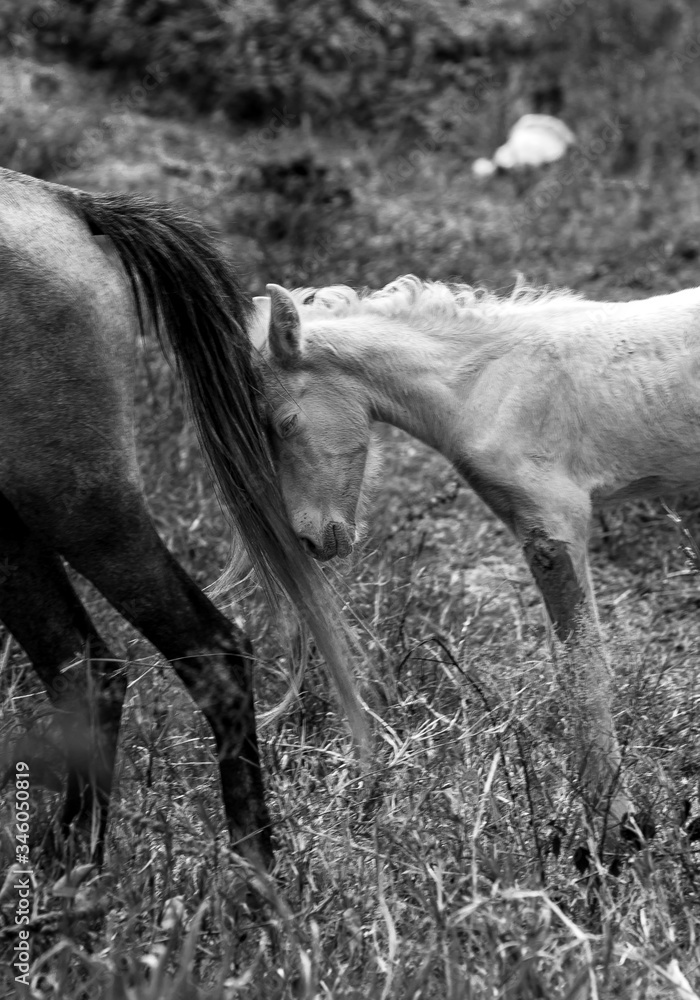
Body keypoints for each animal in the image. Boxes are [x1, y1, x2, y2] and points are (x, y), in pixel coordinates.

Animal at [0, 167, 366, 871]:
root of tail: (66, 202)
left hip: (77, 501)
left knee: (204, 652)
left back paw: (252, 875)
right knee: (86, 673)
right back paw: (65, 871)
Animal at [249, 273, 700, 844]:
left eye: (285, 422)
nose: (311, 539)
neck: (480, 384)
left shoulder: (555, 521)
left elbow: (584, 671)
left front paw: (617, 830)